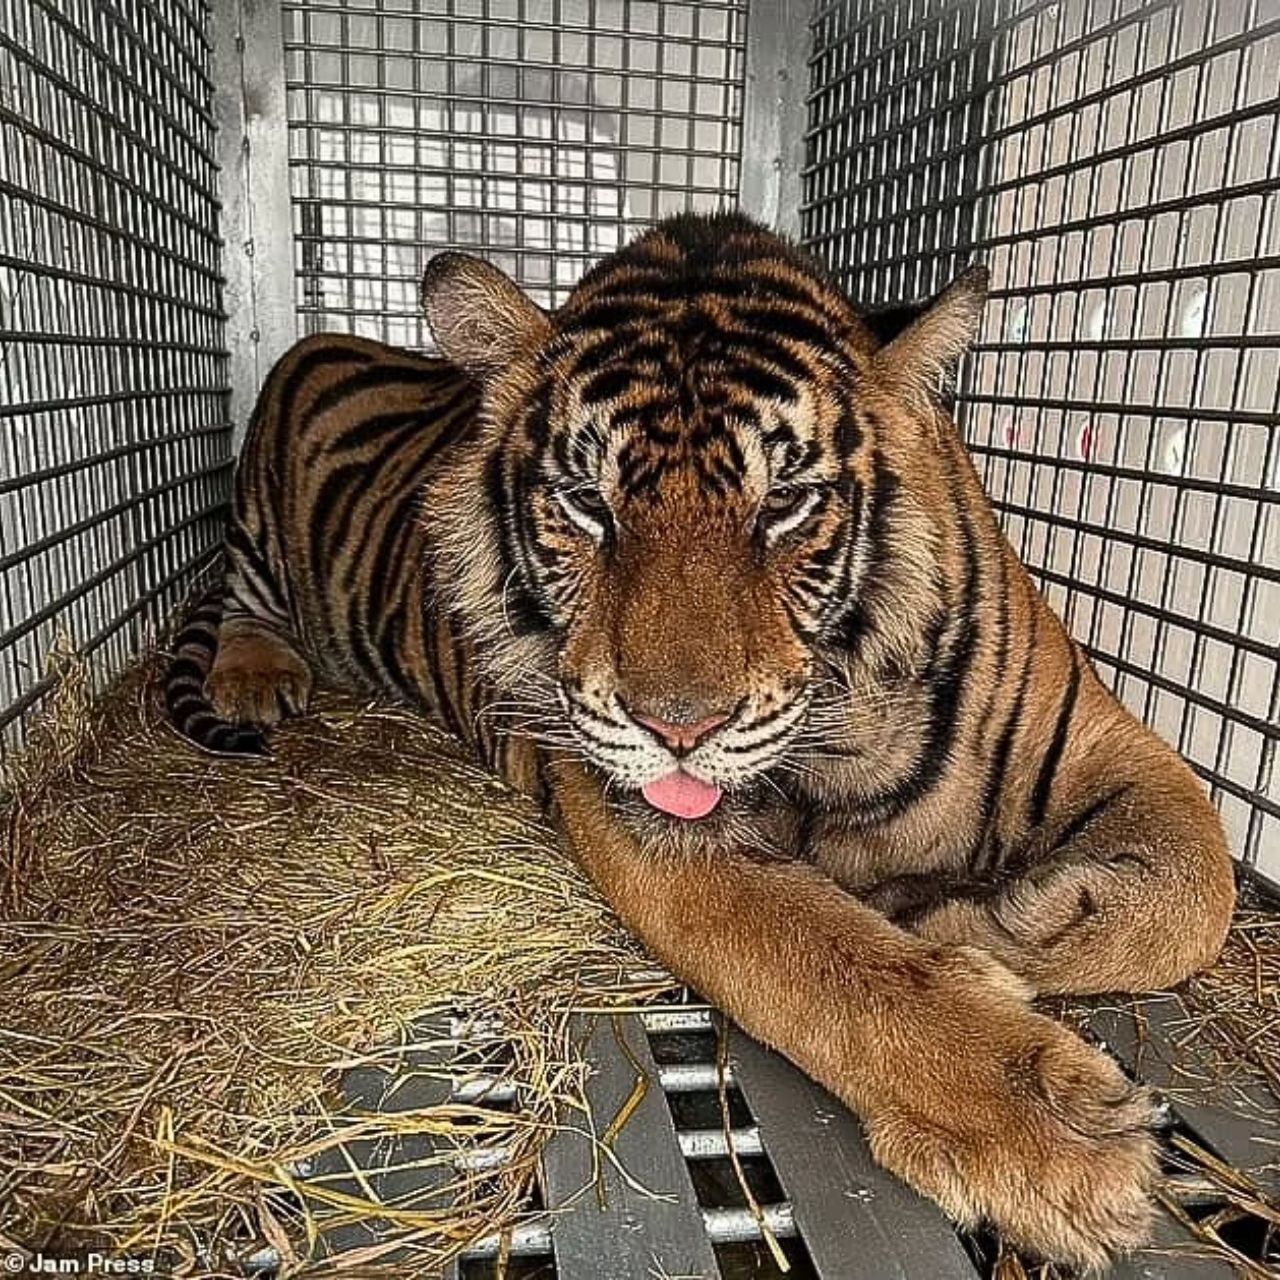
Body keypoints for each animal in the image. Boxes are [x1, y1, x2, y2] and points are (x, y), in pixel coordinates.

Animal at [166, 212, 1235, 1269]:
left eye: (785, 506)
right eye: (588, 505)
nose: (678, 726)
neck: (845, 727)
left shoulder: (1095, 735)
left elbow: (1197, 894)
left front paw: (993, 920)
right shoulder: (653, 828)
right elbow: (822, 960)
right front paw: (1056, 1136)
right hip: (255, 523)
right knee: (244, 602)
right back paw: (255, 677)